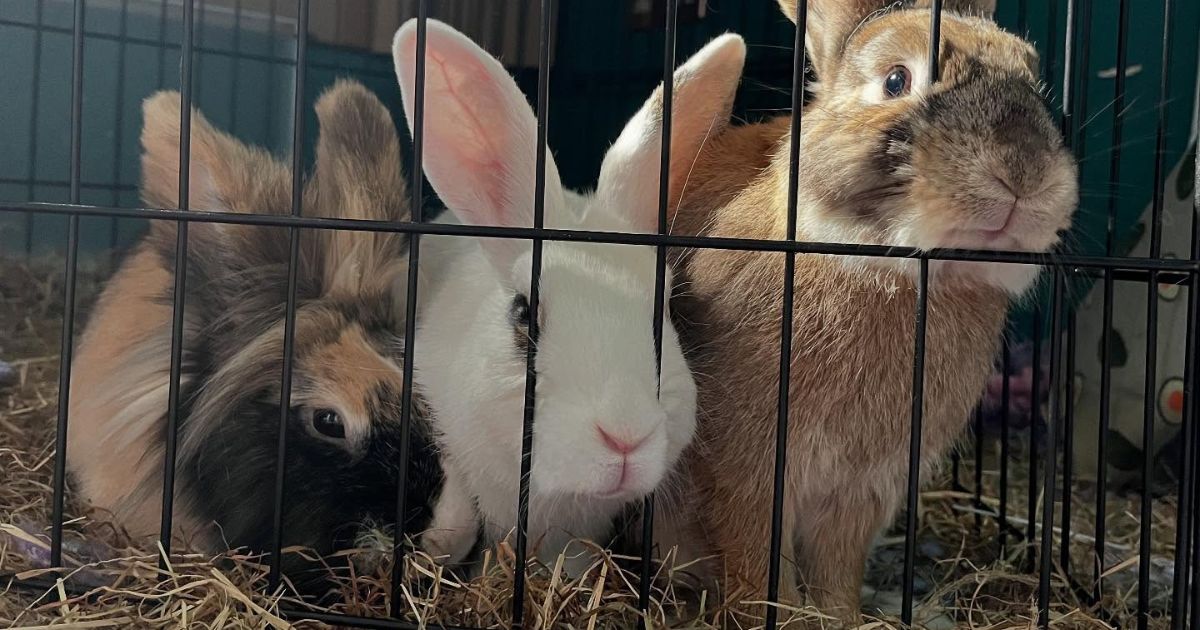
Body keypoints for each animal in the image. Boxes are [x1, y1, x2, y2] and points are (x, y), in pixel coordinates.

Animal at [654, 0, 1079, 623]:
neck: (896, 272)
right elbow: (756, 564)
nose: (1022, 171)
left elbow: (836, 571)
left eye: (1033, 77)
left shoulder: (860, 492)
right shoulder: (747, 471)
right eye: (896, 81)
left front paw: (842, 620)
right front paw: (779, 618)